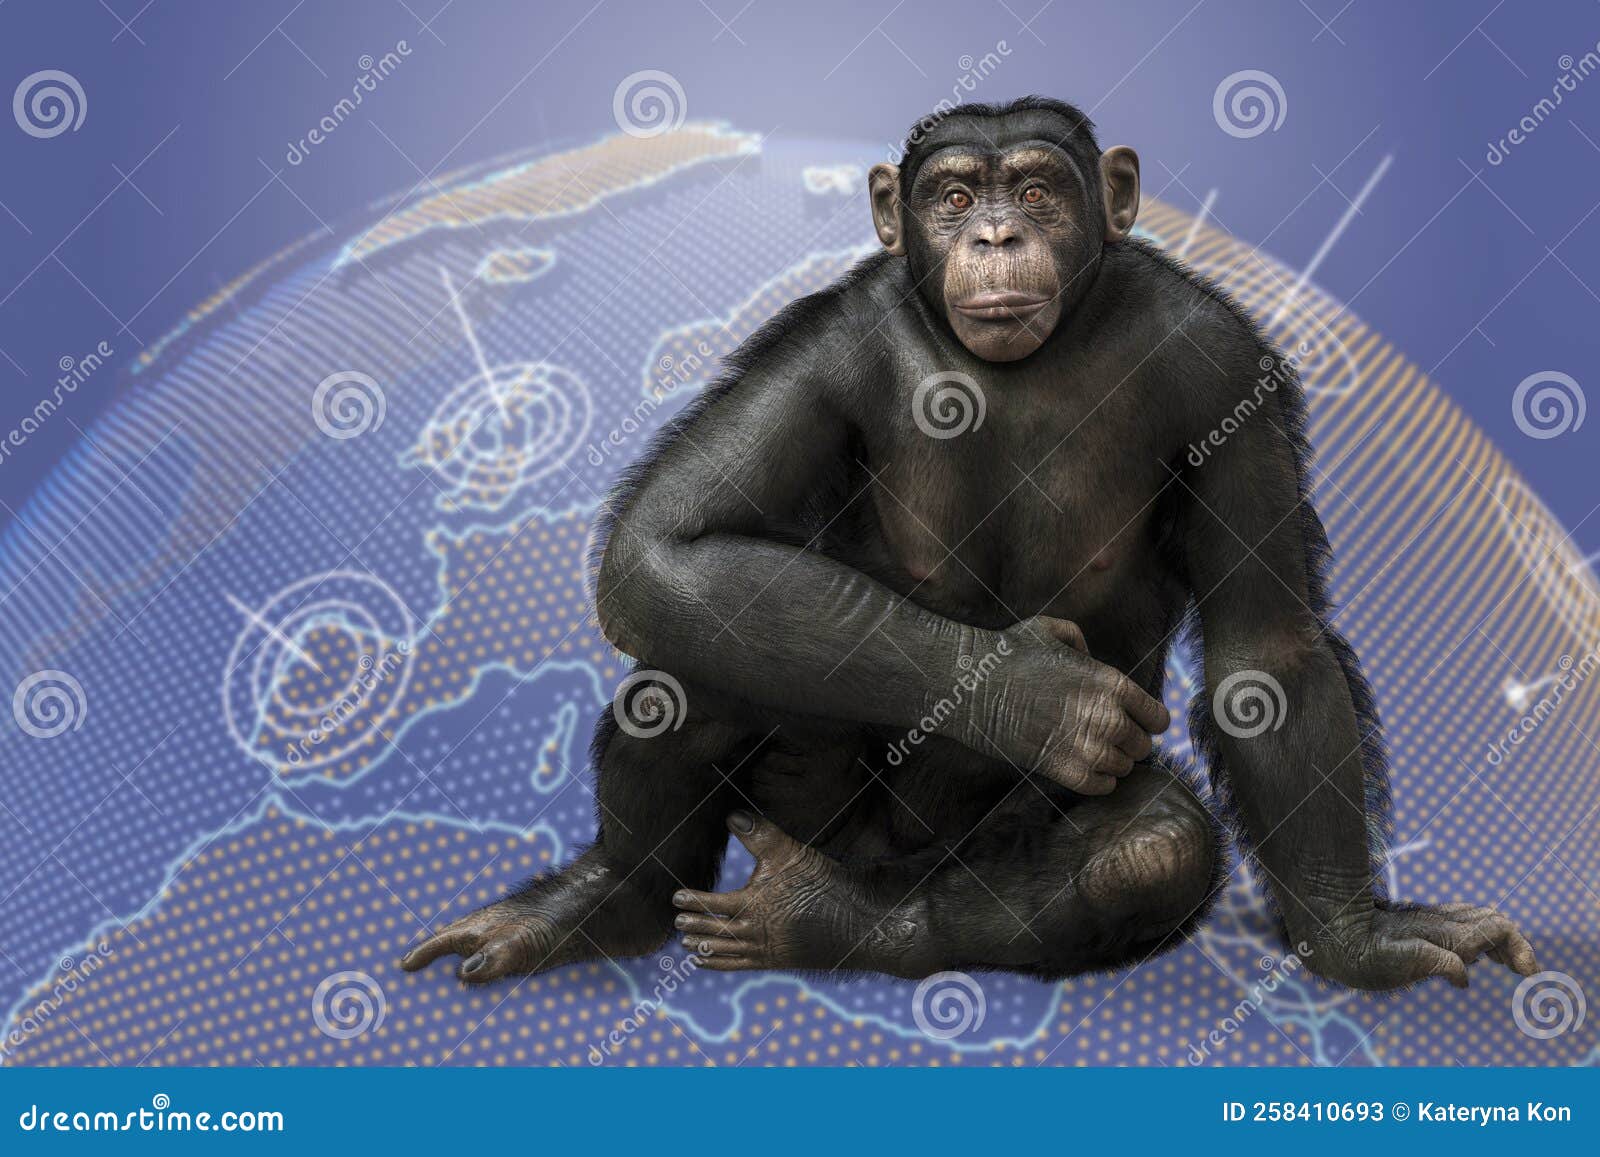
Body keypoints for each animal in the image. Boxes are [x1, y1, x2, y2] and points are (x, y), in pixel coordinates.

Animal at [401, 97, 1537, 990]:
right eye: (951, 198)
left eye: (1035, 189)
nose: (993, 235)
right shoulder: (827, 342)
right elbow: (667, 543)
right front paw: (1039, 695)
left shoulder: (1224, 362)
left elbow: (1268, 650)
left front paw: (1354, 936)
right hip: (809, 806)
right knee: (693, 659)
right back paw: (605, 904)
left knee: (1150, 847)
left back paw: (832, 923)